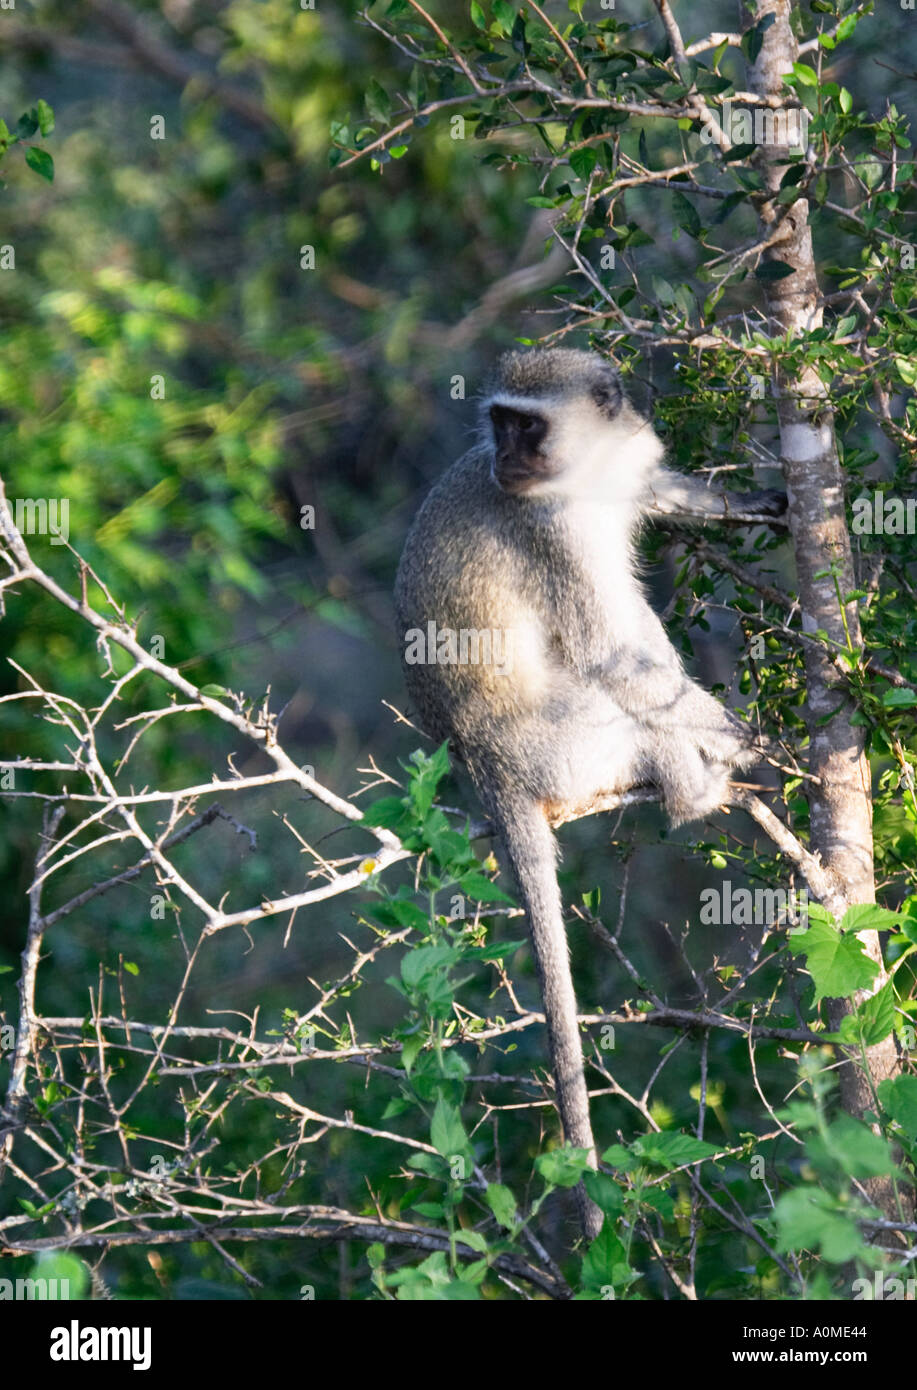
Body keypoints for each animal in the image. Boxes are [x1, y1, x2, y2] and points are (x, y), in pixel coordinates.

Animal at [394, 347, 777, 1241]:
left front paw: (755, 502)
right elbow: (612, 653)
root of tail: (482, 767)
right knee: (634, 707)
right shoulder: (549, 534)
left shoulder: (633, 458)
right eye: (499, 422)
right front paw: (743, 735)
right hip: (560, 746)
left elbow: (664, 489)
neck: (585, 471)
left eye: (523, 425)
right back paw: (697, 787)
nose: (502, 457)